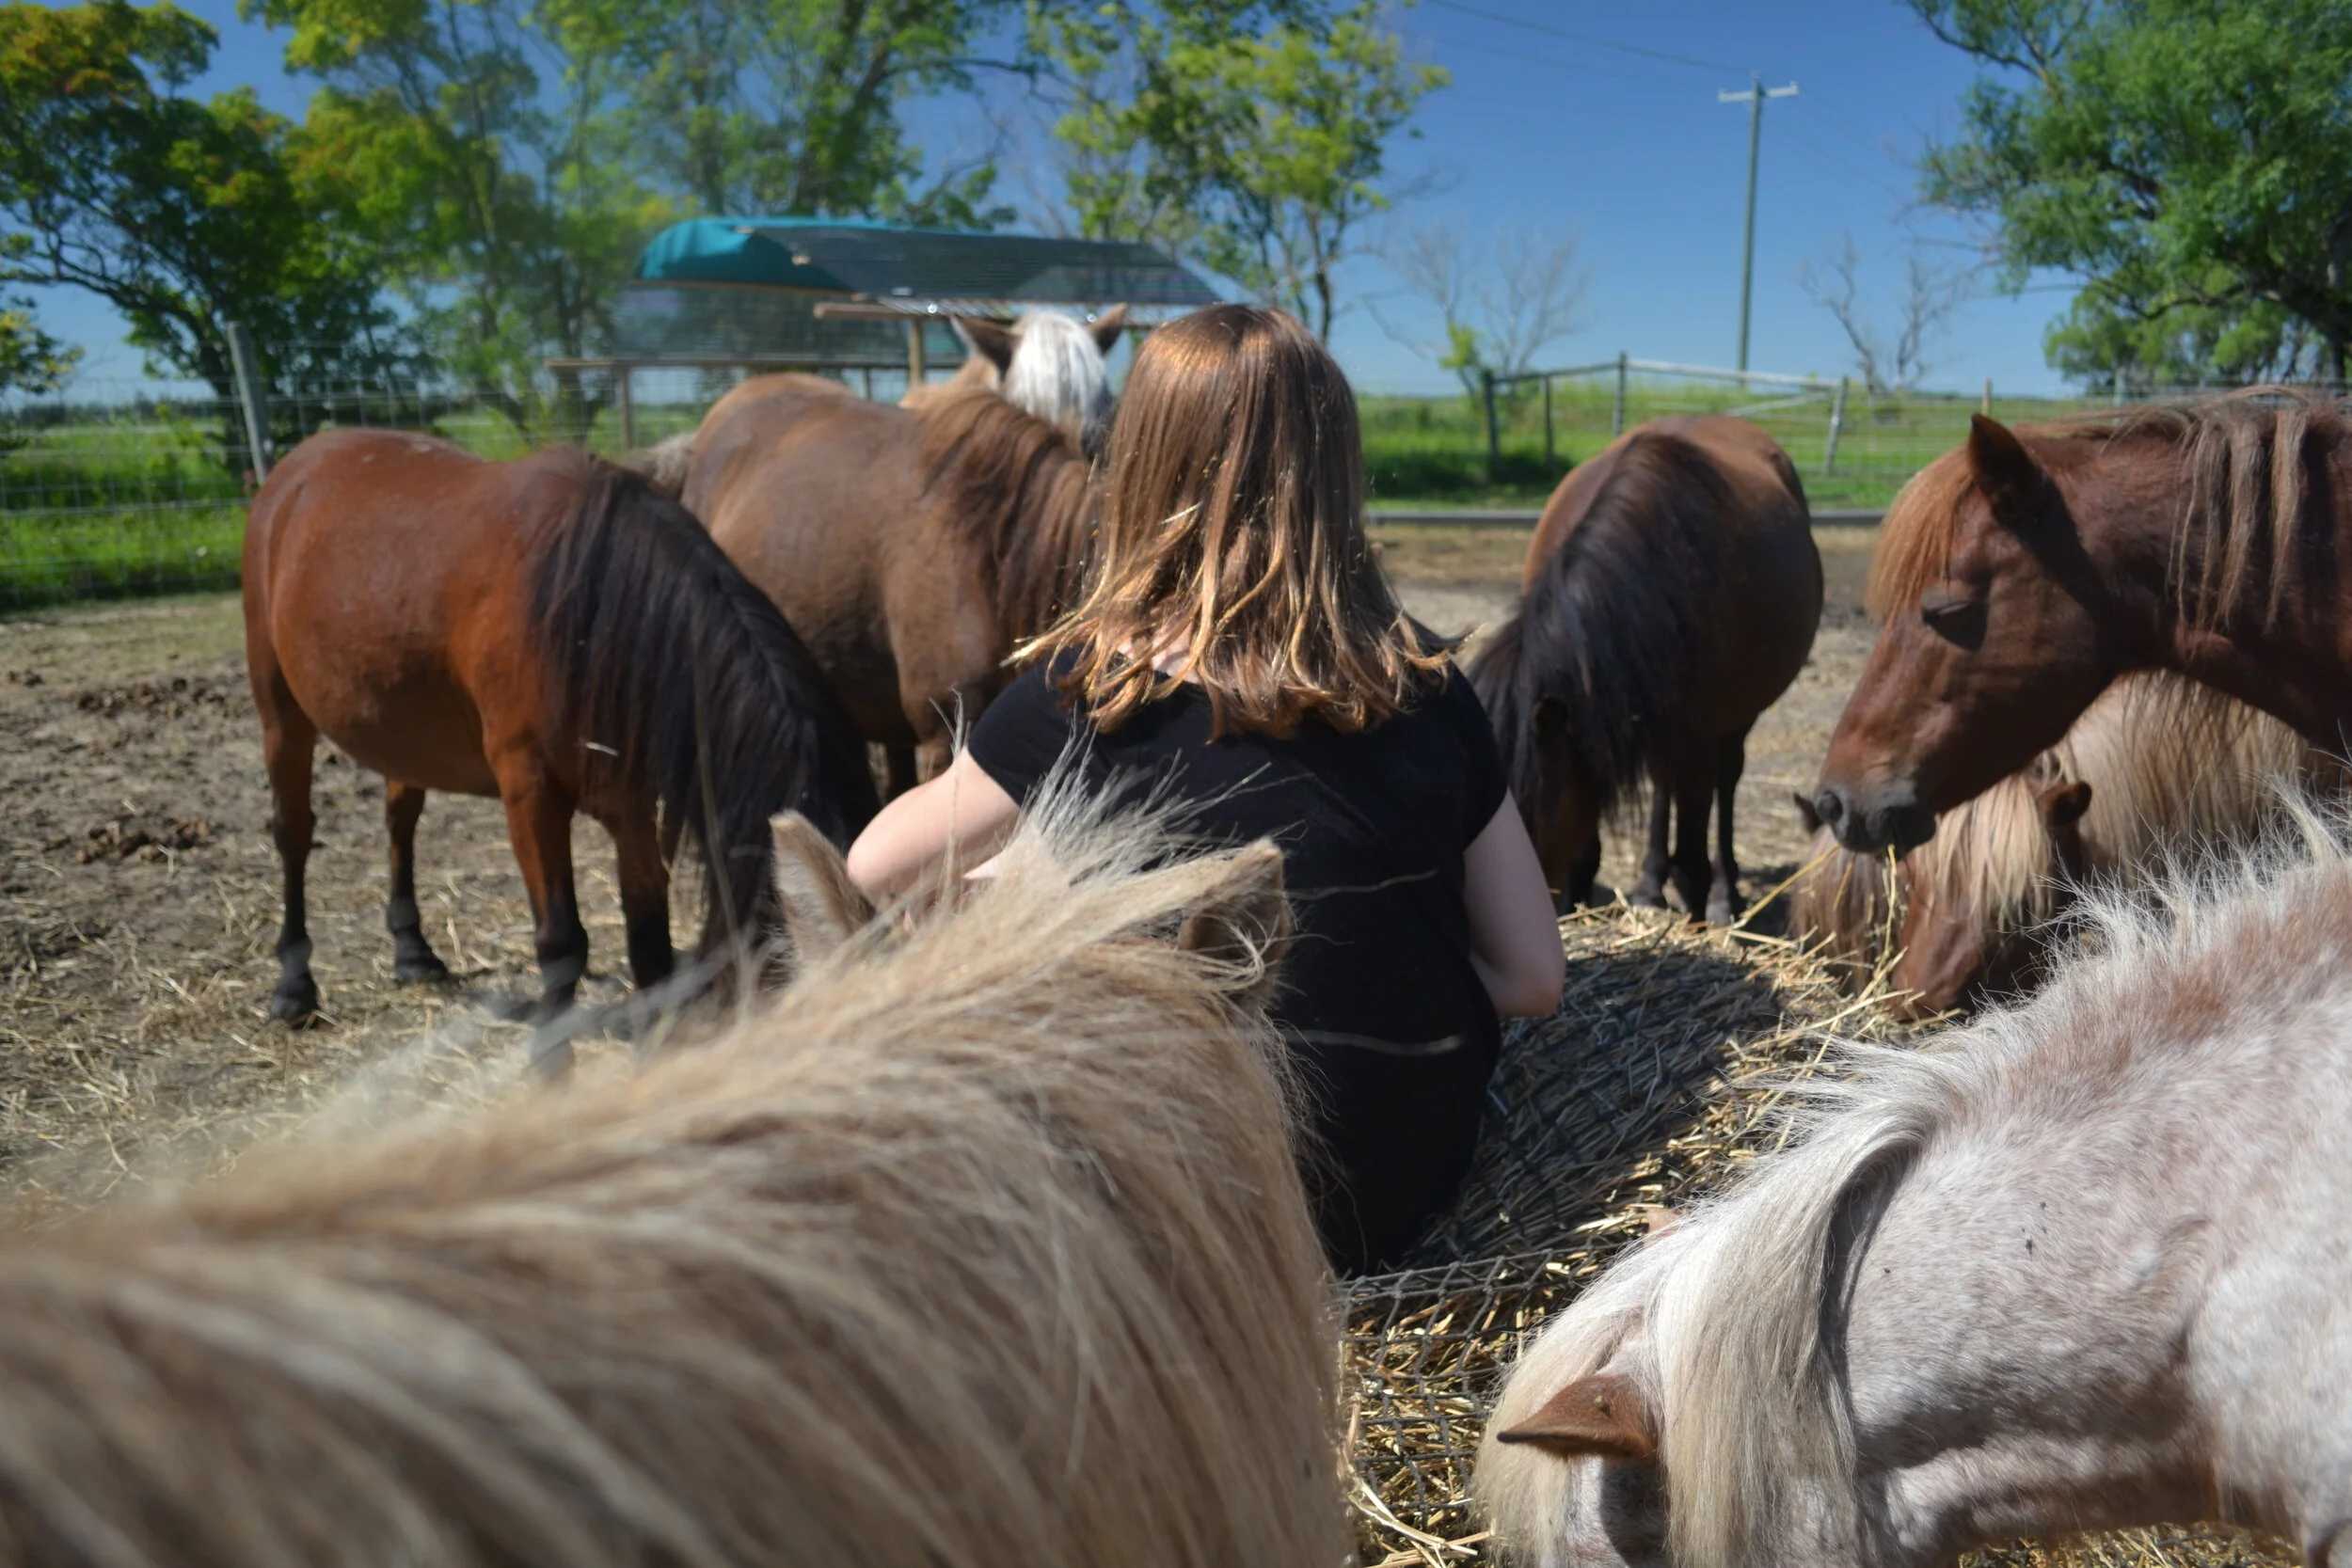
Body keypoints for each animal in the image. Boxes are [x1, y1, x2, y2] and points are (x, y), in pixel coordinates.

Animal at [242, 429, 879, 1068]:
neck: (591, 615)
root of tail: (299, 465)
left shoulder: (632, 808)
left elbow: (650, 942)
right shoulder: (531, 793)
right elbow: (562, 942)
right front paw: (552, 1069)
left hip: (405, 734)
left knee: (401, 818)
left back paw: (412, 950)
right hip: (281, 715)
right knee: (293, 832)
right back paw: (295, 985)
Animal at [1470, 415, 1822, 923]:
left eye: (1539, 812)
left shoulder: (1697, 731)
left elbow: (1692, 859)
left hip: (1733, 719)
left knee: (1727, 778)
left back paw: (1725, 892)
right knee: (1662, 785)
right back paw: (1649, 885)